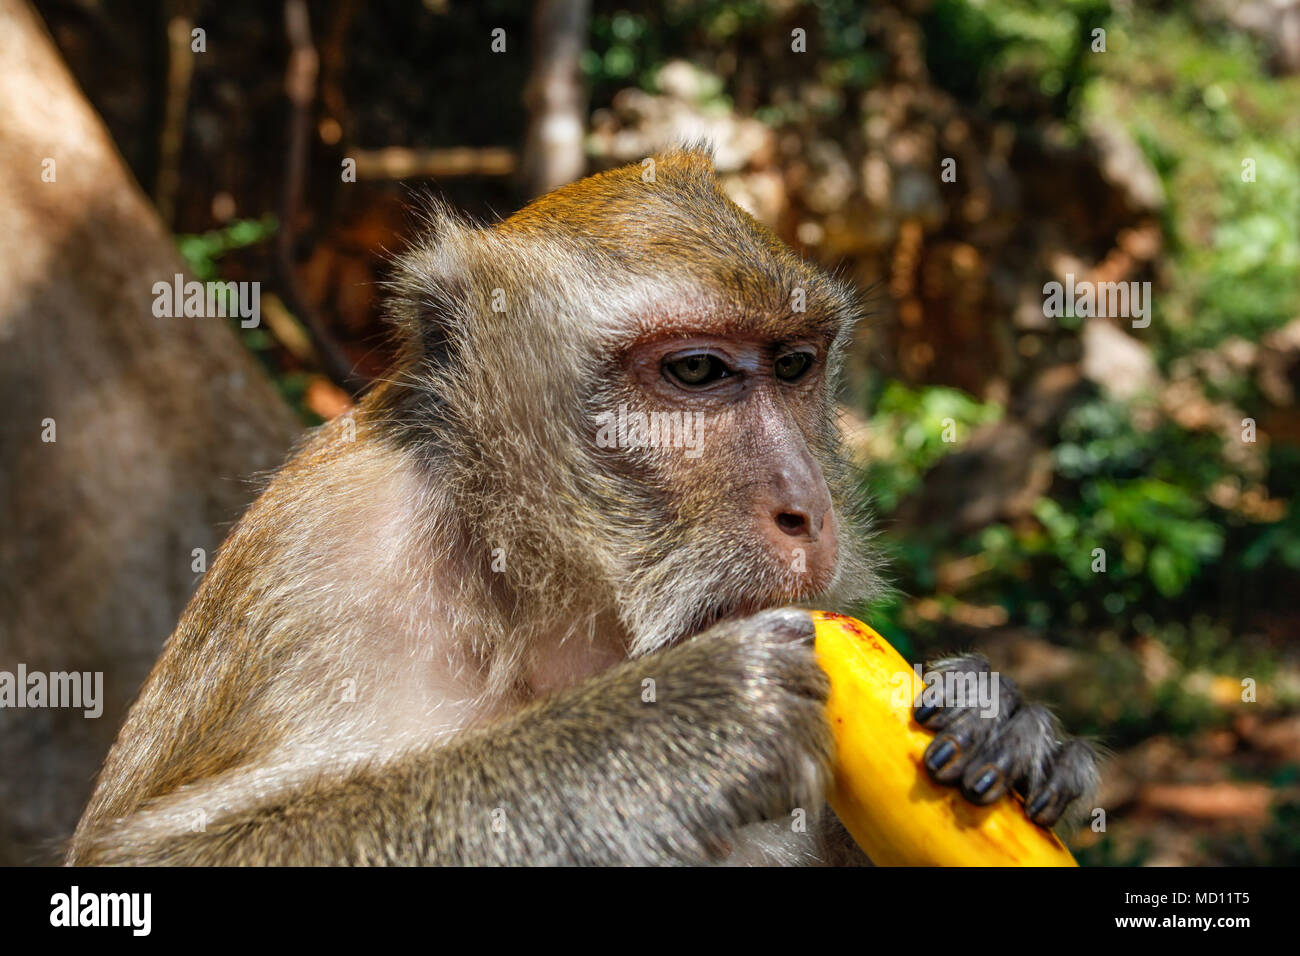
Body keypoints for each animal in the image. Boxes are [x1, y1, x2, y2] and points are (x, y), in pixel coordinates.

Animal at [67, 147, 1097, 865]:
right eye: (698, 373)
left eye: (798, 364)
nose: (807, 508)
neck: (520, 577)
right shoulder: (325, 557)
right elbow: (157, 853)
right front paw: (677, 724)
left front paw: (1010, 725)